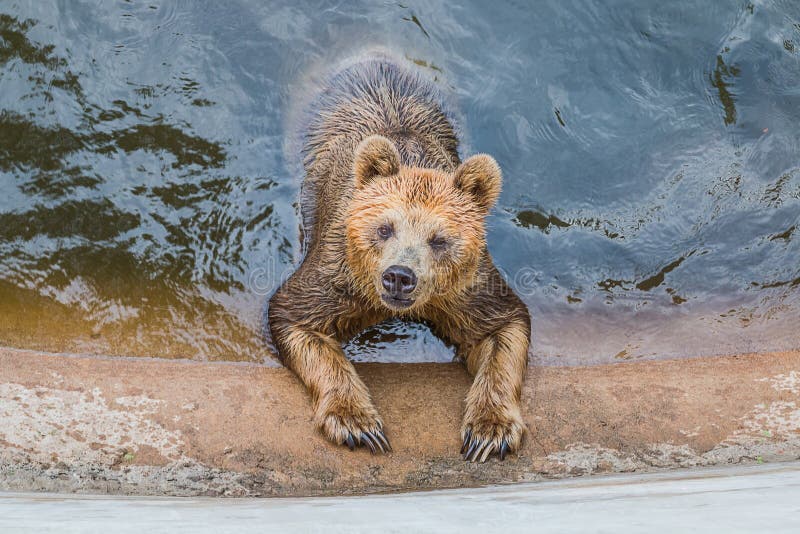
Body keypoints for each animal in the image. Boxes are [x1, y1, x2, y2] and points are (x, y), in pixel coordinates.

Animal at [268, 56, 531, 462]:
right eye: (384, 228)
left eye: (439, 239)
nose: (399, 276)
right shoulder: (336, 275)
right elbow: (298, 319)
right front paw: (358, 424)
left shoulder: (466, 289)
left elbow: (503, 328)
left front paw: (490, 431)